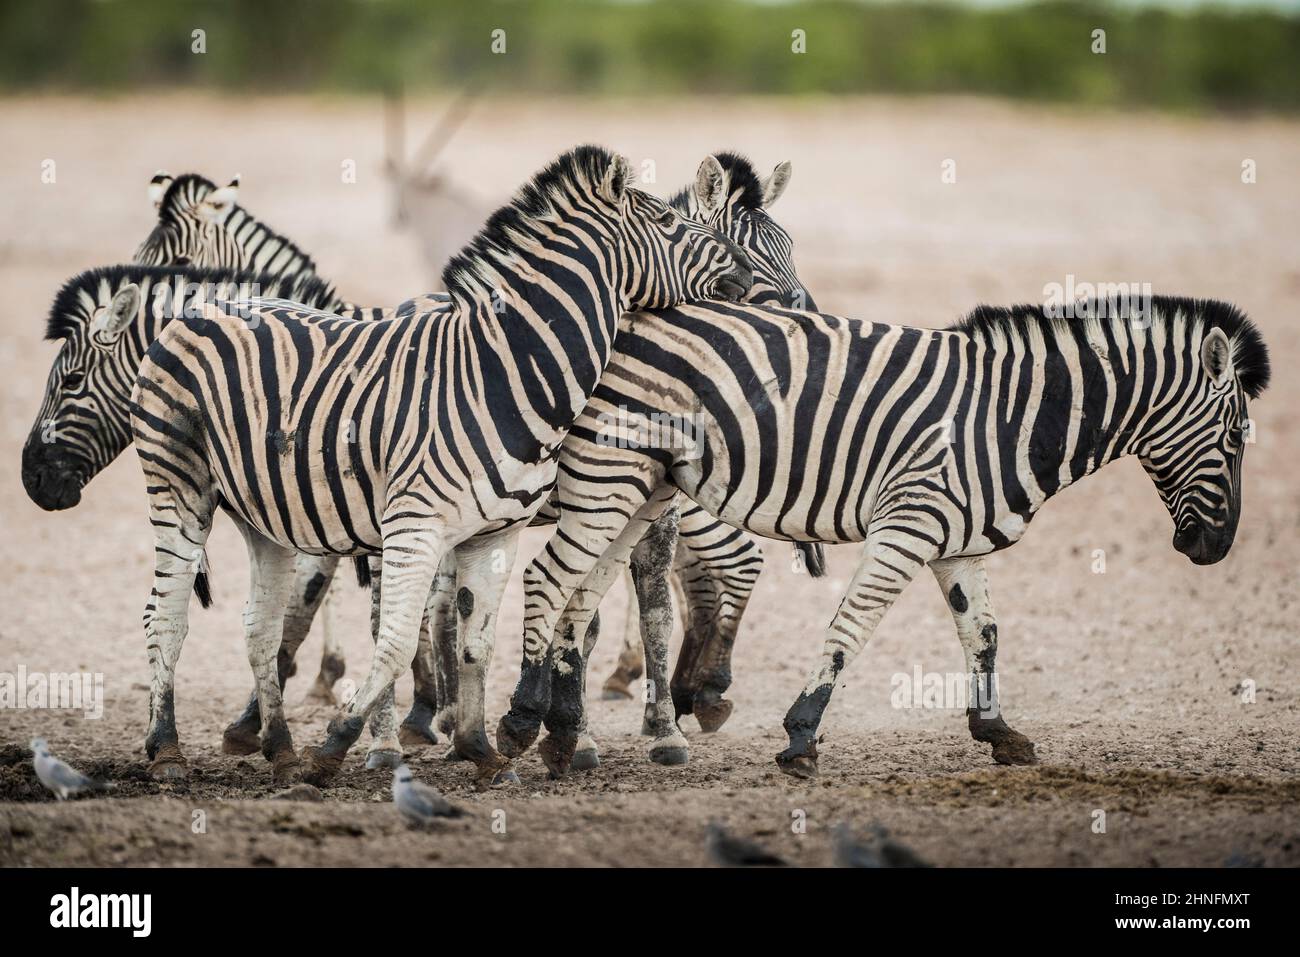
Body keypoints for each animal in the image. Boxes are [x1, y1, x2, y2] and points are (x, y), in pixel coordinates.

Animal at [147, 155, 822, 773]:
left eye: (788, 245)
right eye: (745, 246)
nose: (801, 317)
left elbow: (592, 613)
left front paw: (580, 729)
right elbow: (621, 606)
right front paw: (600, 731)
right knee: (198, 608)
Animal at [502, 293, 1270, 777]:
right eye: (1236, 438)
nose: (1216, 549)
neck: (1012, 417)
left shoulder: (957, 541)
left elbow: (984, 633)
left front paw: (997, 731)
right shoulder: (909, 522)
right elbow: (851, 626)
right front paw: (801, 736)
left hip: (639, 486)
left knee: (579, 595)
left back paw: (565, 739)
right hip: (611, 472)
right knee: (549, 579)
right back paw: (522, 723)